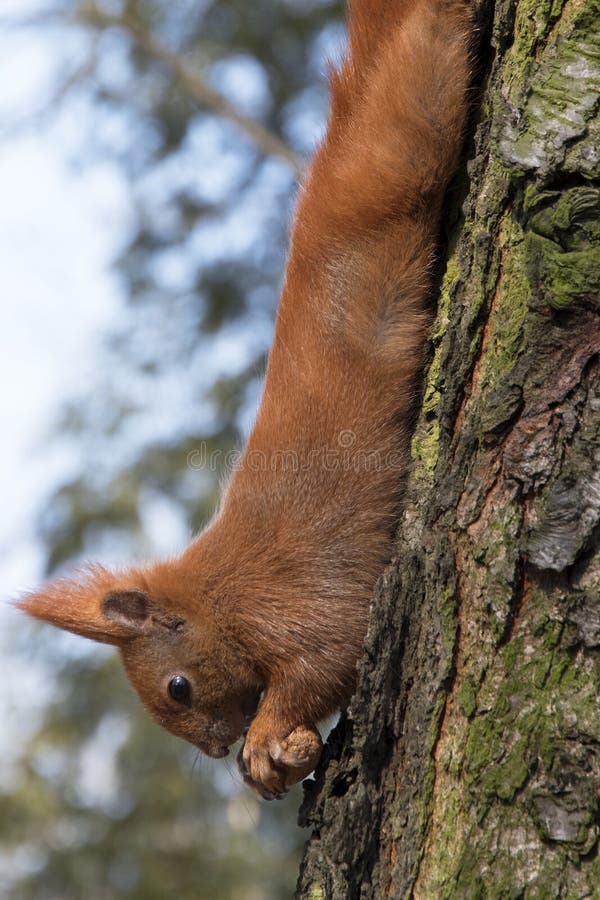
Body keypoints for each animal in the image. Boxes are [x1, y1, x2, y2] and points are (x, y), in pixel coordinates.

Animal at [18, 0, 472, 800]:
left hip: (415, 125)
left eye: (177, 688)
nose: (216, 747)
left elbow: (324, 662)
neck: (220, 596)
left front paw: (267, 741)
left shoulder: (296, 602)